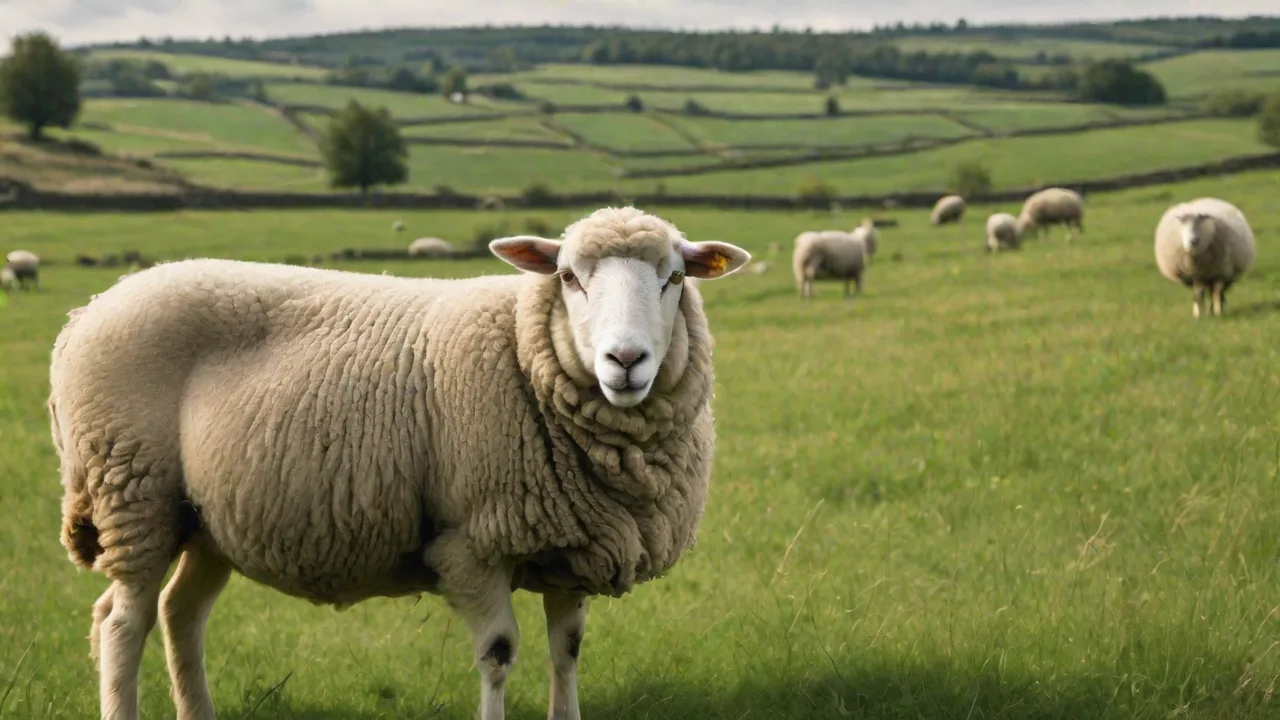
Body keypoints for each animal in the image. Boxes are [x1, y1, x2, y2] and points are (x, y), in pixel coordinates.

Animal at [47, 206, 750, 720]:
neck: (524, 353)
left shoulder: (574, 546)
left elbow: (567, 653)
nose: (625, 360)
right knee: (123, 622)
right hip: (134, 492)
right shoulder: (471, 543)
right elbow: (499, 655)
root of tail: (87, 311)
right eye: (569, 277)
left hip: (207, 519)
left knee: (179, 614)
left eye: (674, 279)